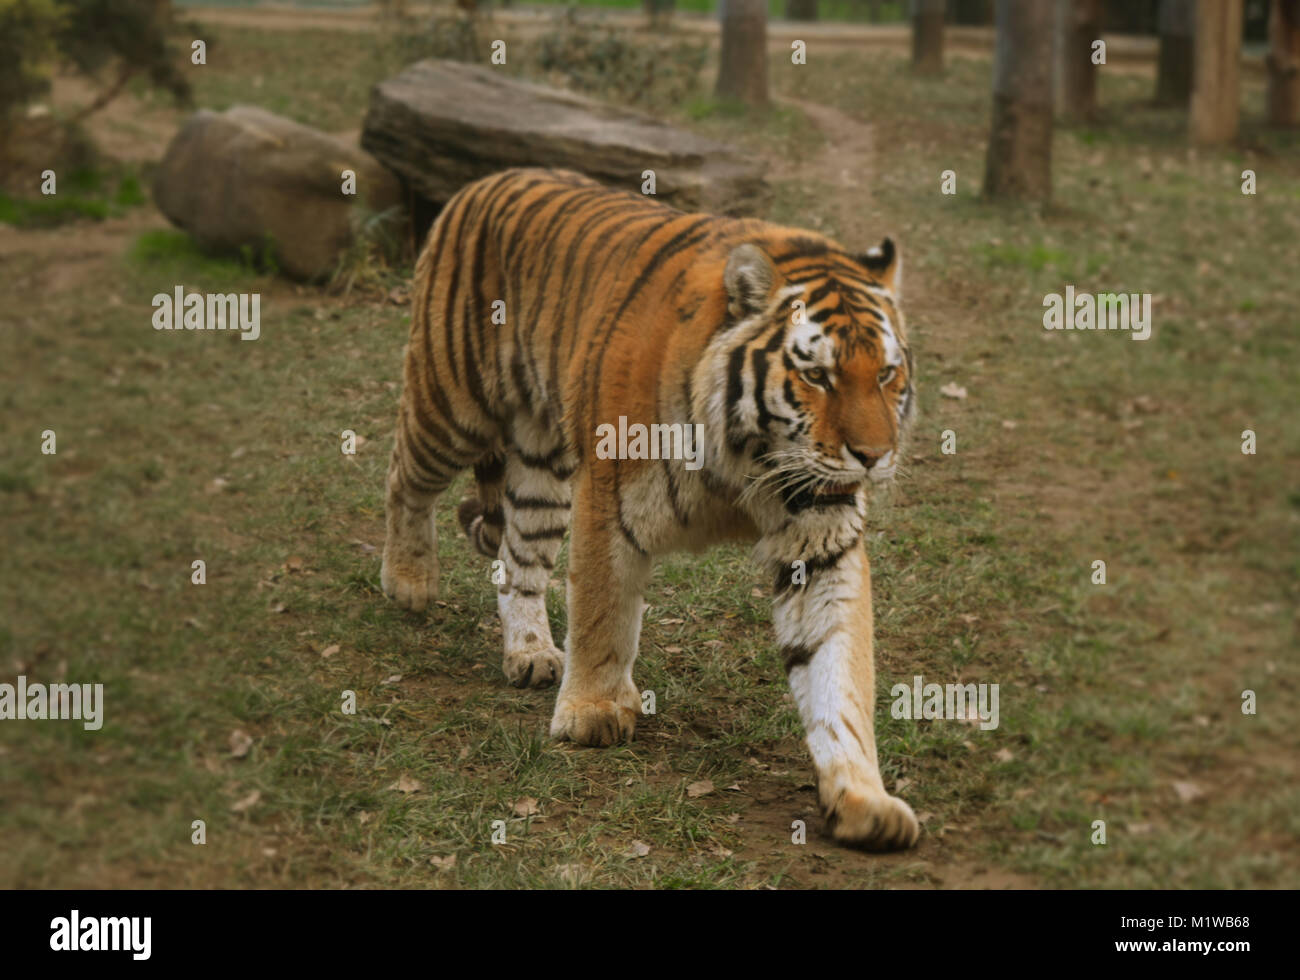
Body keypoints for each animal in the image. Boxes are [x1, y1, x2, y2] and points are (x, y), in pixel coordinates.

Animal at [380, 168, 919, 850]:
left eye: (886, 375)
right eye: (818, 376)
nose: (873, 456)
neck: (749, 454)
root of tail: (484, 179)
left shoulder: (821, 531)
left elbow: (838, 665)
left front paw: (861, 795)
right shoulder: (608, 497)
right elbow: (602, 611)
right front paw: (593, 712)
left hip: (542, 469)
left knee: (518, 561)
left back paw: (530, 653)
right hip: (453, 404)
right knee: (404, 474)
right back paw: (409, 580)